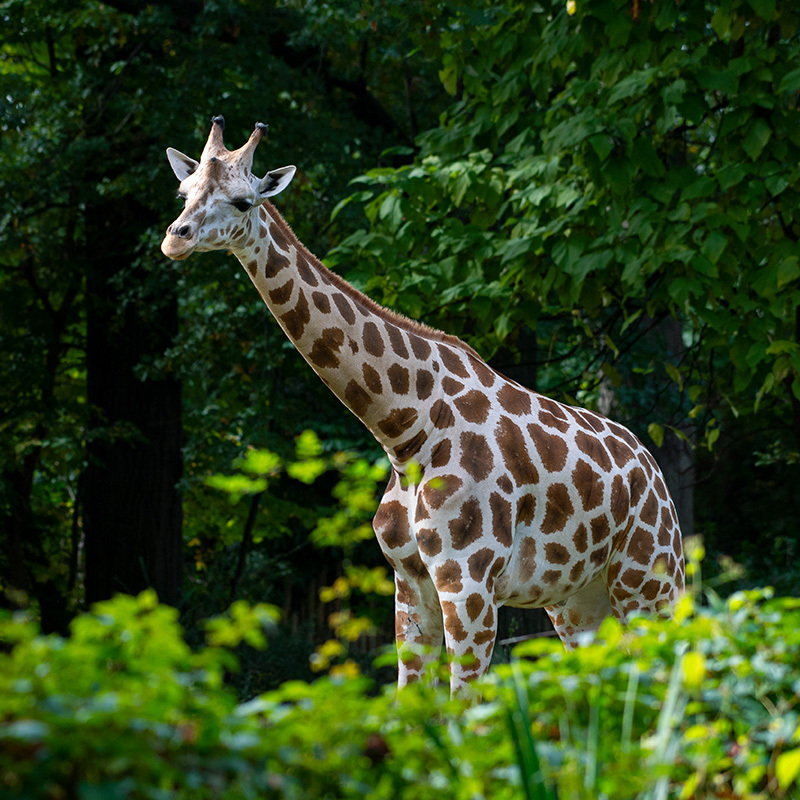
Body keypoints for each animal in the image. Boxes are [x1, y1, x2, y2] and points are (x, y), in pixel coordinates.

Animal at [162, 117, 685, 693]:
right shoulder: (410, 583)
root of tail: (655, 474)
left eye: (242, 201)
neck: (405, 429)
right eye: (184, 193)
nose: (174, 239)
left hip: (650, 582)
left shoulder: (469, 582)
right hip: (579, 602)